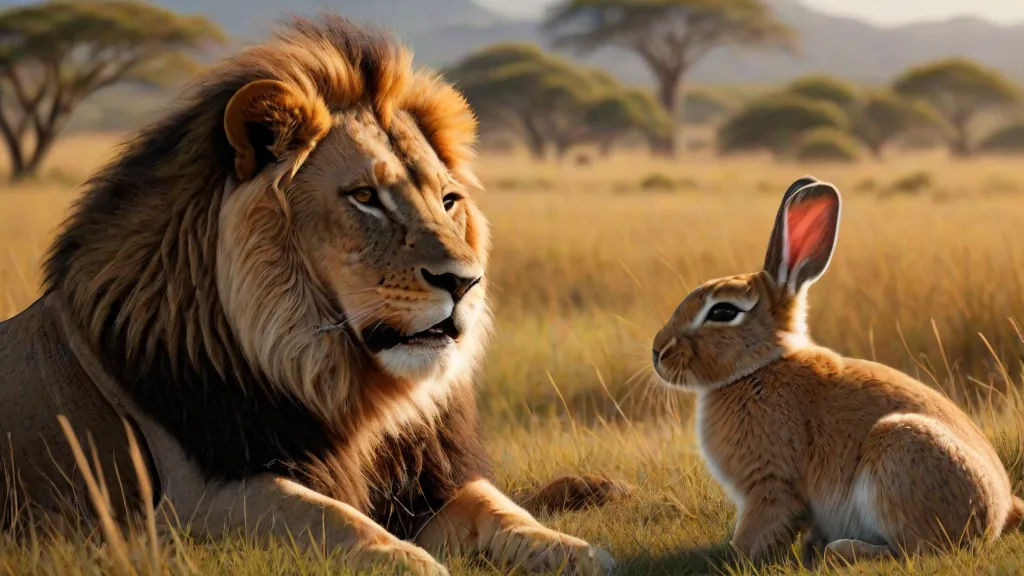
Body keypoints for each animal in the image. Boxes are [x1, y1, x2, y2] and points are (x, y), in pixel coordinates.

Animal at [0, 17, 612, 575]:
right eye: (365, 196)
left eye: (448, 200)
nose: (465, 282)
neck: (342, 387)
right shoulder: (193, 499)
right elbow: (331, 516)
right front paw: (410, 561)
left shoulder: (427, 483)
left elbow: (501, 509)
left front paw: (578, 550)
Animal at [651, 177, 1024, 564]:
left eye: (723, 311)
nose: (657, 353)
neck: (759, 367)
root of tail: (999, 513)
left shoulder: (771, 486)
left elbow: (757, 531)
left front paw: (736, 559)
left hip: (899, 450)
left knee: (918, 549)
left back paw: (839, 550)